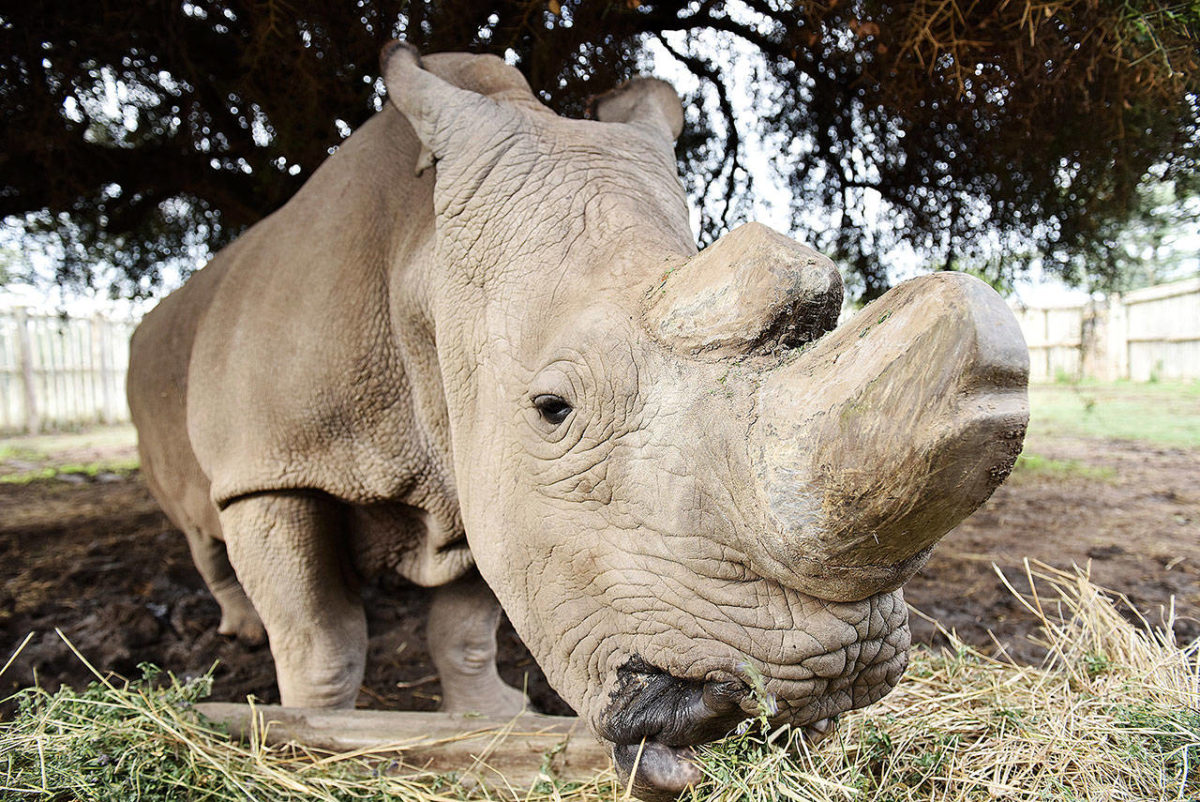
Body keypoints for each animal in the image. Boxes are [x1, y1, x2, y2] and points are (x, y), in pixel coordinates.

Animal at [127, 43, 1028, 799]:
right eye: (554, 410)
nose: (835, 675)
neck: (421, 264)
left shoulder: (475, 459)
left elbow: (468, 617)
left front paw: (492, 719)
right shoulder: (271, 467)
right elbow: (321, 637)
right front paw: (319, 734)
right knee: (202, 524)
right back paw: (240, 632)